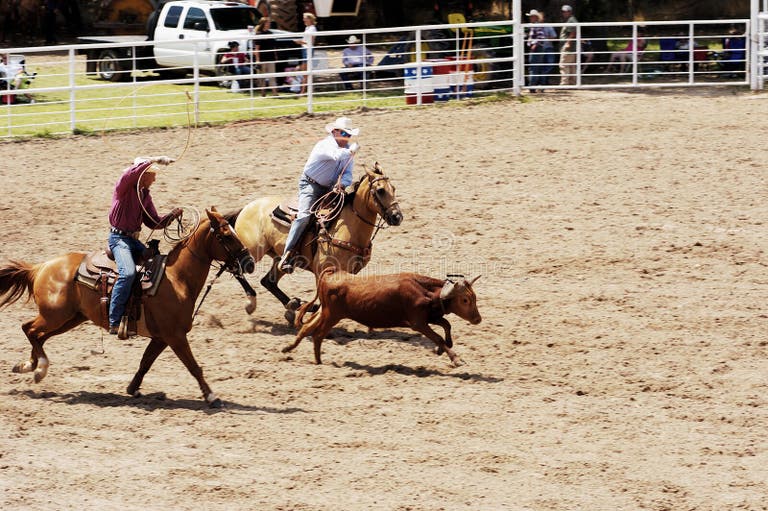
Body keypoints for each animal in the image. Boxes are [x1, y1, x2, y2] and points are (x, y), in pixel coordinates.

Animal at [0, 208, 255, 408]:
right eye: (226, 236)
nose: (249, 263)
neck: (177, 278)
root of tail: (40, 267)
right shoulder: (175, 336)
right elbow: (193, 366)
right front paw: (212, 396)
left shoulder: (162, 337)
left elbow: (145, 362)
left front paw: (133, 388)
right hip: (55, 315)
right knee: (29, 329)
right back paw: (38, 368)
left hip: (70, 318)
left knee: (38, 335)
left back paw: (28, 366)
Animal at [229, 162, 403, 321]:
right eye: (380, 190)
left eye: (394, 188)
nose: (397, 217)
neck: (348, 229)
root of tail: (246, 208)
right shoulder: (322, 271)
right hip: (252, 251)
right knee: (235, 267)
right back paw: (252, 302)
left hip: (278, 259)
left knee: (268, 281)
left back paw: (293, 305)